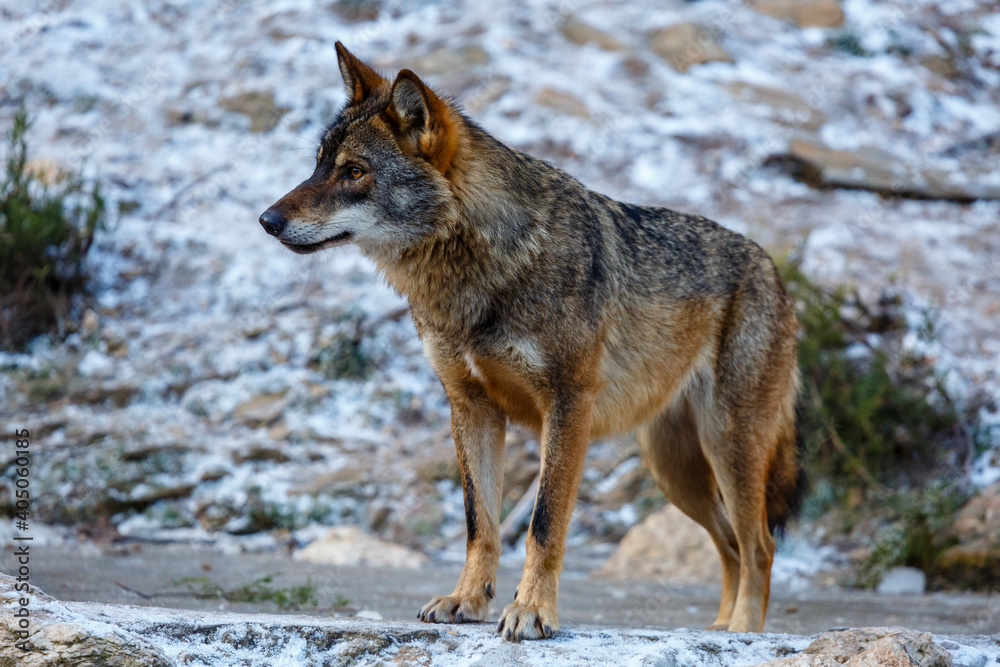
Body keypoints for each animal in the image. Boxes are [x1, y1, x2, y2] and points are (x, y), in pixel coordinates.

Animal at [259, 43, 803, 641]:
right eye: (318, 164)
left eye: (354, 171)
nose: (266, 219)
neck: (480, 270)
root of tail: (773, 269)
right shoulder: (470, 407)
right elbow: (480, 524)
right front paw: (466, 601)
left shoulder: (567, 405)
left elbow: (543, 525)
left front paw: (532, 611)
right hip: (675, 471)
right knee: (730, 545)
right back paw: (721, 629)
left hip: (727, 448)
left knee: (760, 545)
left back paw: (745, 632)